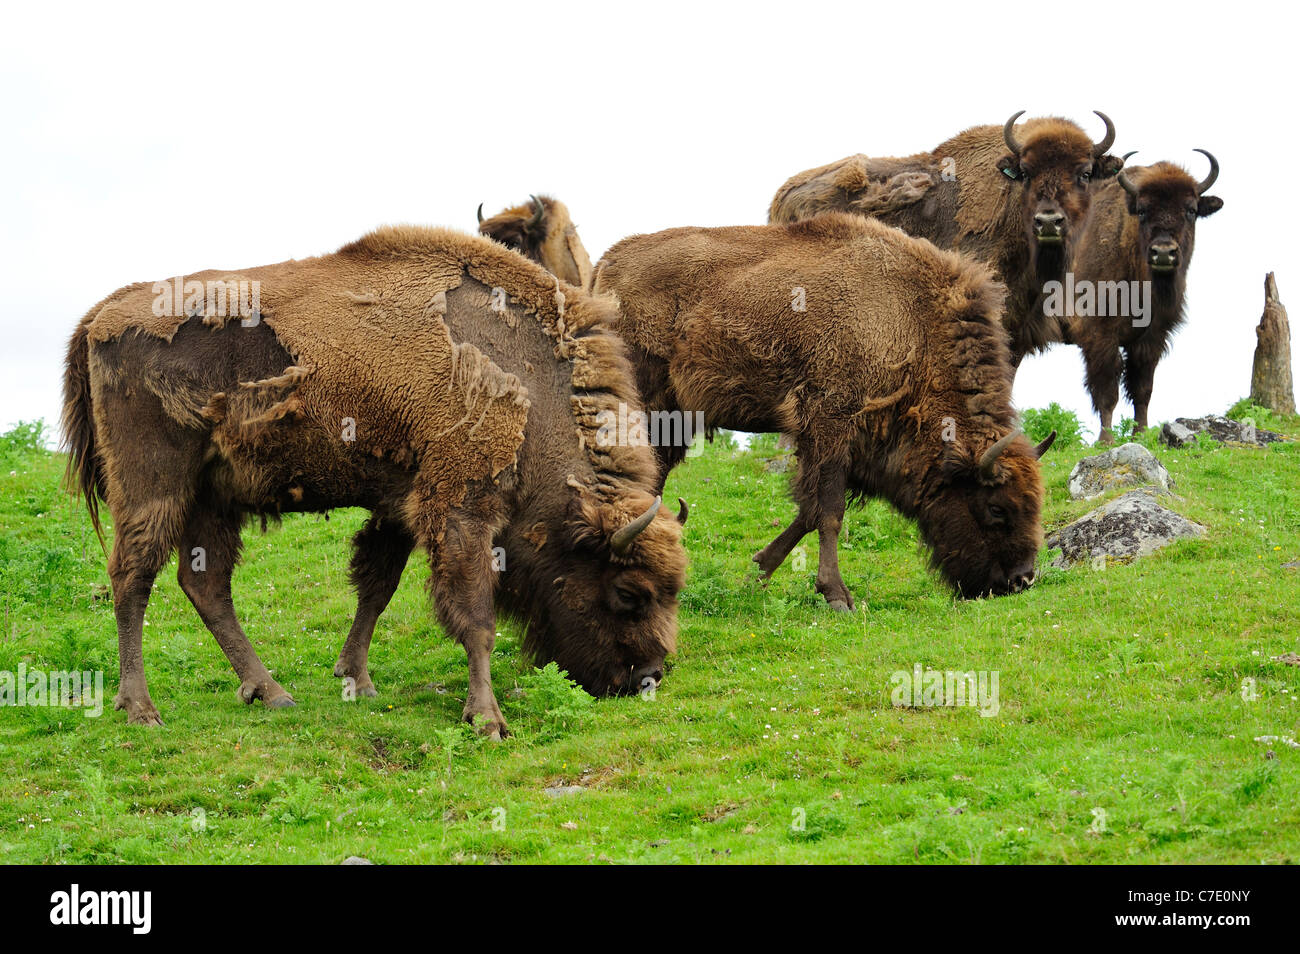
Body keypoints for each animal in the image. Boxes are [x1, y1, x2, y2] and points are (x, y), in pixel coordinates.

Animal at [61, 226, 687, 737]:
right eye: (629, 592)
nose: (650, 675)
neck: (530, 386)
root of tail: (101, 314)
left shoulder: (400, 506)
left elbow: (376, 587)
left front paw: (356, 681)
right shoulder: (461, 510)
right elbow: (475, 616)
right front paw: (487, 719)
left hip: (212, 496)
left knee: (206, 584)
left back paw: (272, 693)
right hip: (153, 485)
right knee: (133, 575)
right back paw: (141, 709)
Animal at [593, 213, 1055, 610]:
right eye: (997, 508)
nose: (1021, 580)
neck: (912, 321)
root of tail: (607, 266)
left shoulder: (849, 446)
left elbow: (809, 509)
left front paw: (758, 571)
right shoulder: (832, 422)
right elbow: (829, 512)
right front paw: (837, 597)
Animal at [1064, 150, 1222, 442]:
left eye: (1191, 210)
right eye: (1142, 210)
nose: (1163, 253)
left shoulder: (1152, 337)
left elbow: (1142, 389)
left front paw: (1141, 434)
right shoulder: (1100, 334)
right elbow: (1107, 390)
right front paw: (1106, 440)